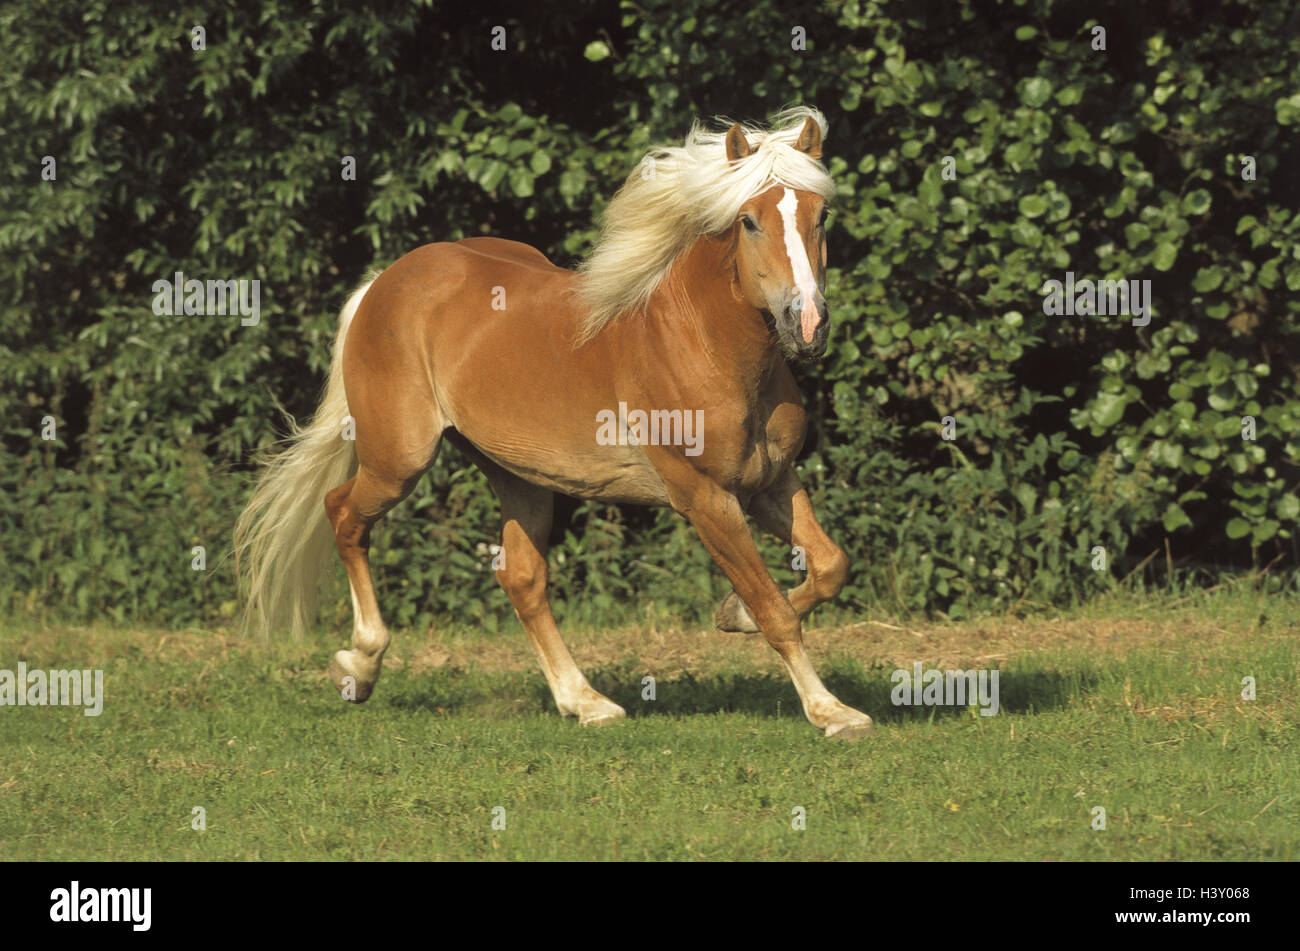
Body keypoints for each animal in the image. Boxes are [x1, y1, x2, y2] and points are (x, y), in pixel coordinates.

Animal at [233, 106, 874, 740]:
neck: (701, 344)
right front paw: (831, 711)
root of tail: (381, 284)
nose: (807, 323)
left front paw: (732, 615)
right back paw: (359, 666)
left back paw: (585, 702)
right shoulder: (706, 499)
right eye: (748, 221)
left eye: (820, 215)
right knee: (344, 514)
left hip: (521, 477)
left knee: (520, 577)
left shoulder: (771, 483)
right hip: (399, 461)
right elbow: (774, 610)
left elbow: (830, 566)